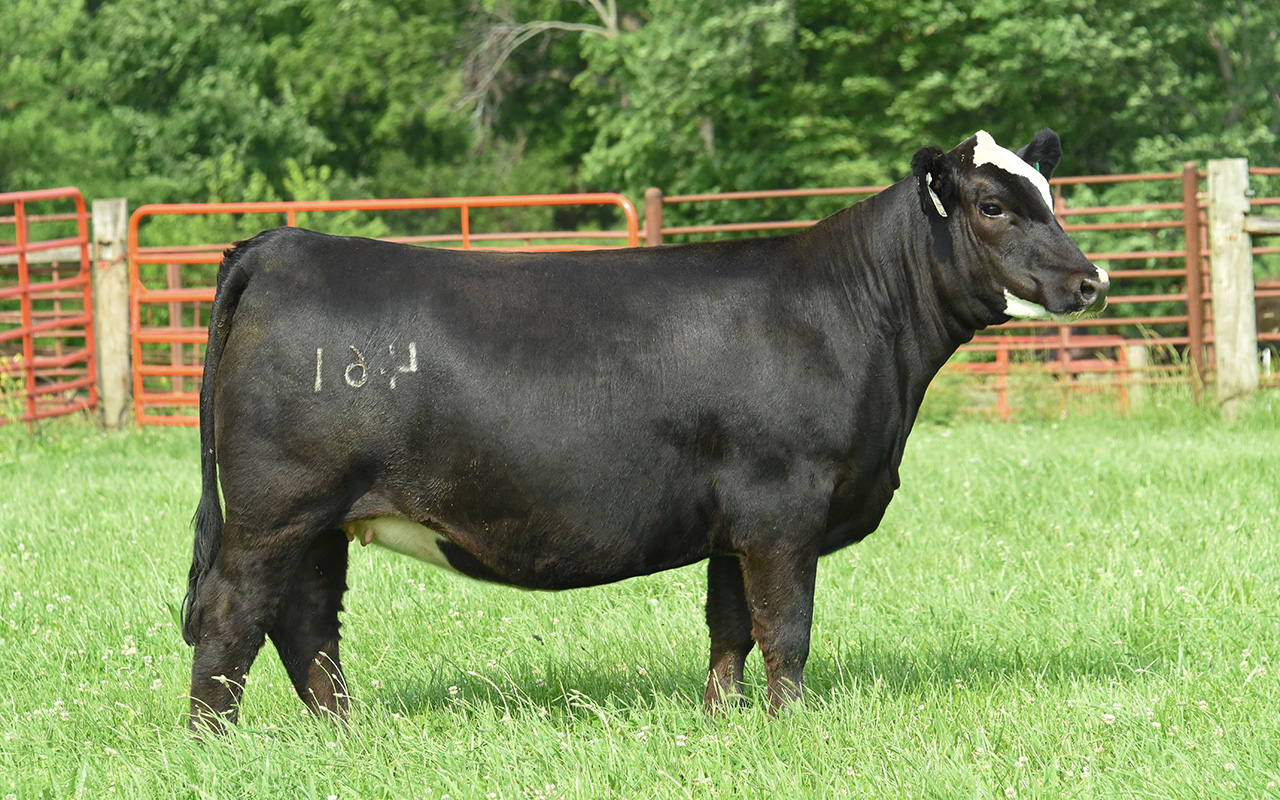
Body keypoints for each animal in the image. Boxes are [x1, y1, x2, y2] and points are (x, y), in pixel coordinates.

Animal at [182, 129, 1107, 732]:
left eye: (1051, 196)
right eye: (993, 204)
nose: (1090, 279)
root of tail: (283, 241)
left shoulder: (736, 521)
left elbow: (731, 627)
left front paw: (728, 723)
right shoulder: (783, 505)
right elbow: (787, 628)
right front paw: (792, 727)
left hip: (319, 517)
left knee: (304, 621)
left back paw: (346, 734)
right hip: (276, 507)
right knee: (232, 612)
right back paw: (213, 743)